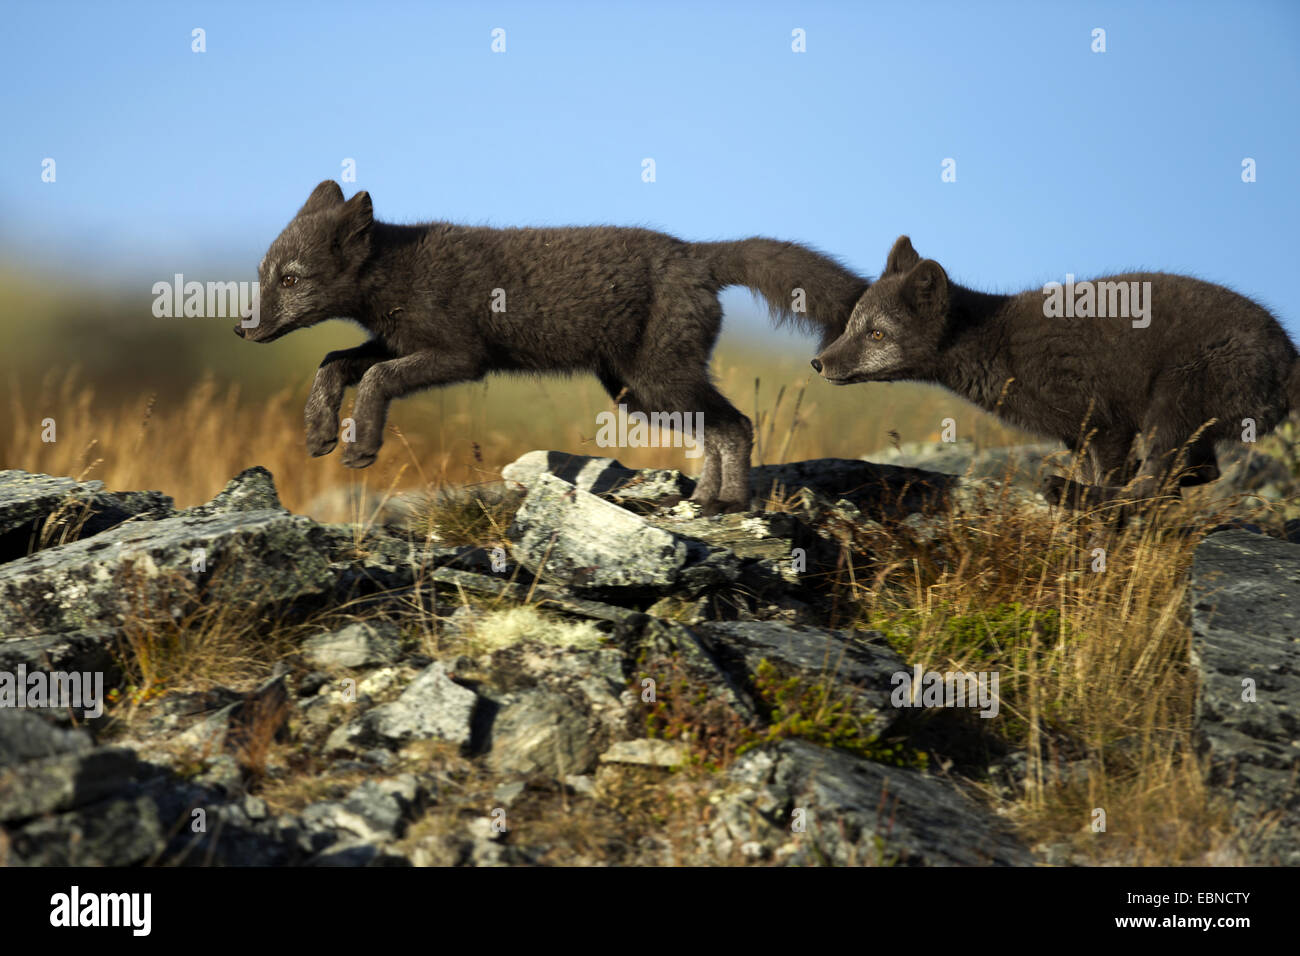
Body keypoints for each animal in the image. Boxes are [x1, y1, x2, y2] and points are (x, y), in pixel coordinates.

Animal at [236, 180, 868, 514]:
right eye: (265, 274)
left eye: (290, 279)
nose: (243, 329)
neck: (399, 275)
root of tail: (694, 252)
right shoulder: (395, 342)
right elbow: (333, 363)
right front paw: (319, 431)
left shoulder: (459, 356)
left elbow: (372, 378)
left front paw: (360, 445)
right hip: (641, 394)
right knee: (716, 429)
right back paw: (701, 500)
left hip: (658, 382)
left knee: (735, 425)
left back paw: (727, 504)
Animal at [812, 235, 1300, 505]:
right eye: (853, 323)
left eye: (876, 334)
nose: (819, 362)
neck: (995, 343)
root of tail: (1290, 360)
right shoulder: (1076, 434)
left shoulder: (1103, 419)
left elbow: (1112, 472)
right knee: (1196, 473)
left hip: (1174, 396)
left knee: (1151, 487)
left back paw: (1073, 494)